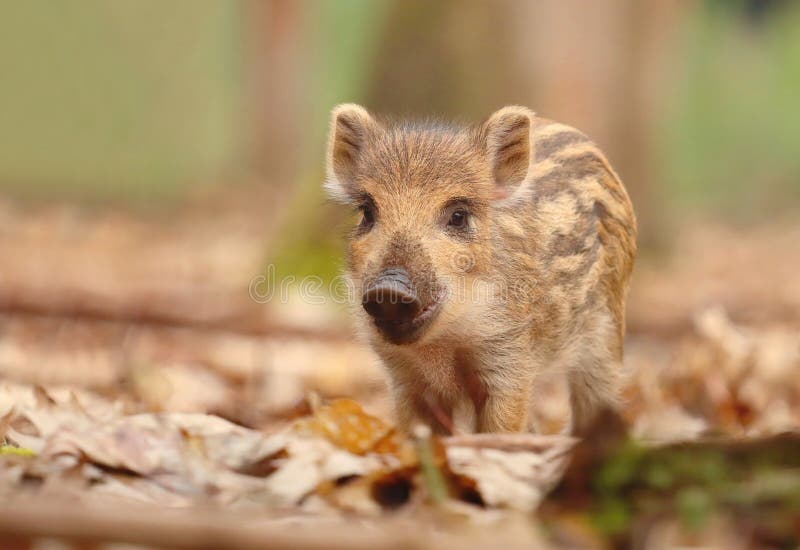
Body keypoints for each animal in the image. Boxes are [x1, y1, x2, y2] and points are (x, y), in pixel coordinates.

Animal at [324, 104, 636, 435]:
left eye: (458, 215)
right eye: (367, 212)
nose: (389, 288)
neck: (444, 345)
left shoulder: (509, 357)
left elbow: (502, 429)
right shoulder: (404, 377)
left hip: (607, 331)